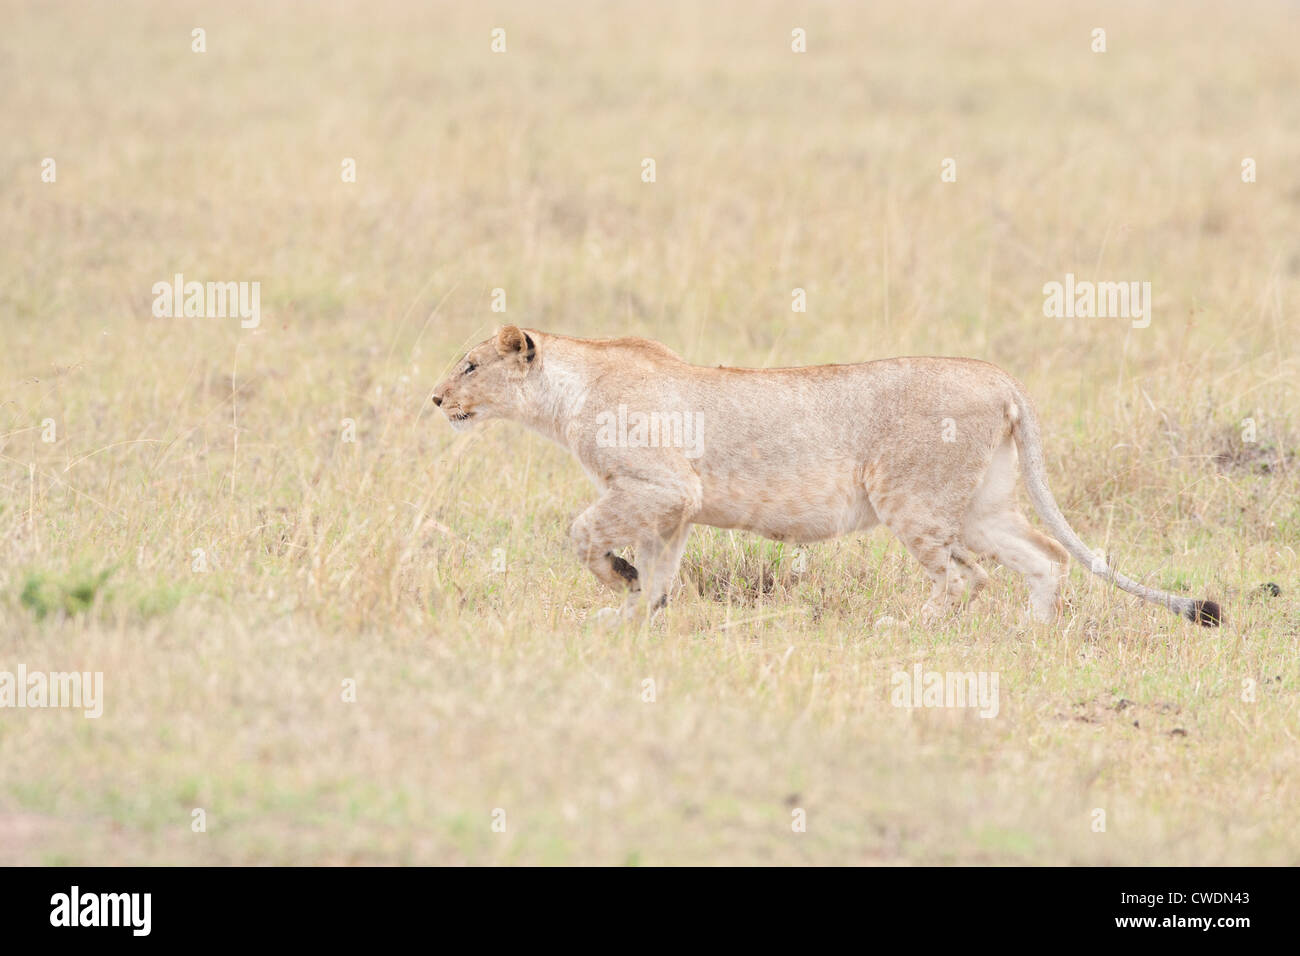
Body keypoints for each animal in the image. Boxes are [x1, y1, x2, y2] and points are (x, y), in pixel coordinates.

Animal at [432, 326, 1222, 627]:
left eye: (469, 364)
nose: (436, 399)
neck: (566, 394)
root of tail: (999, 377)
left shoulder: (661, 488)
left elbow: (582, 533)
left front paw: (615, 585)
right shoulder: (673, 508)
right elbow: (661, 573)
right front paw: (629, 615)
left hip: (910, 498)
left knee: (963, 578)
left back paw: (907, 628)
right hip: (980, 506)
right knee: (1045, 557)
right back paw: (1033, 634)